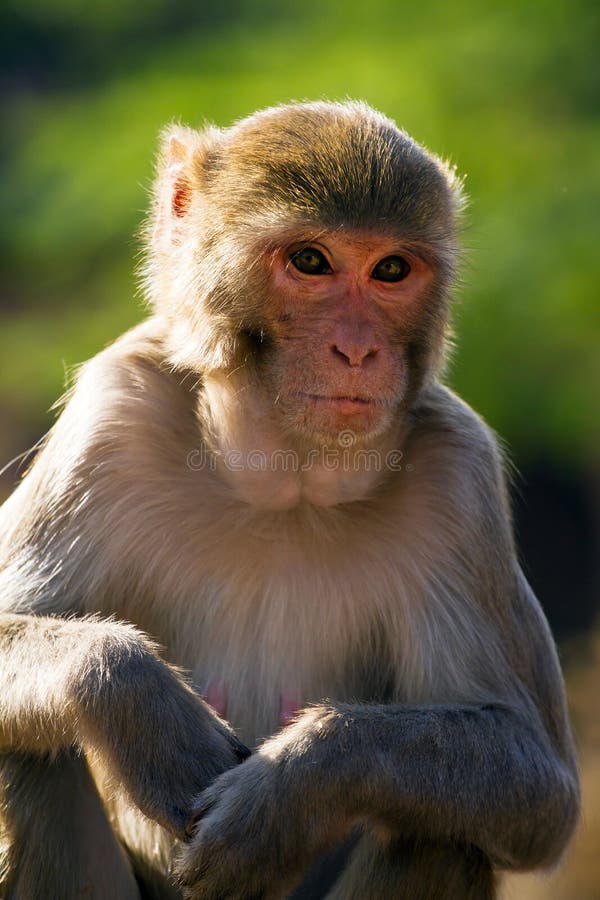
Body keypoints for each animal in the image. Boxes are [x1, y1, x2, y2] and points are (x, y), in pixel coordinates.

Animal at [0, 100, 579, 899]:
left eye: (391, 269)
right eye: (310, 262)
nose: (358, 351)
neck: (285, 486)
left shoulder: (459, 474)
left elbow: (540, 784)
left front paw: (291, 788)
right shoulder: (114, 413)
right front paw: (138, 706)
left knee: (446, 832)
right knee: (32, 749)